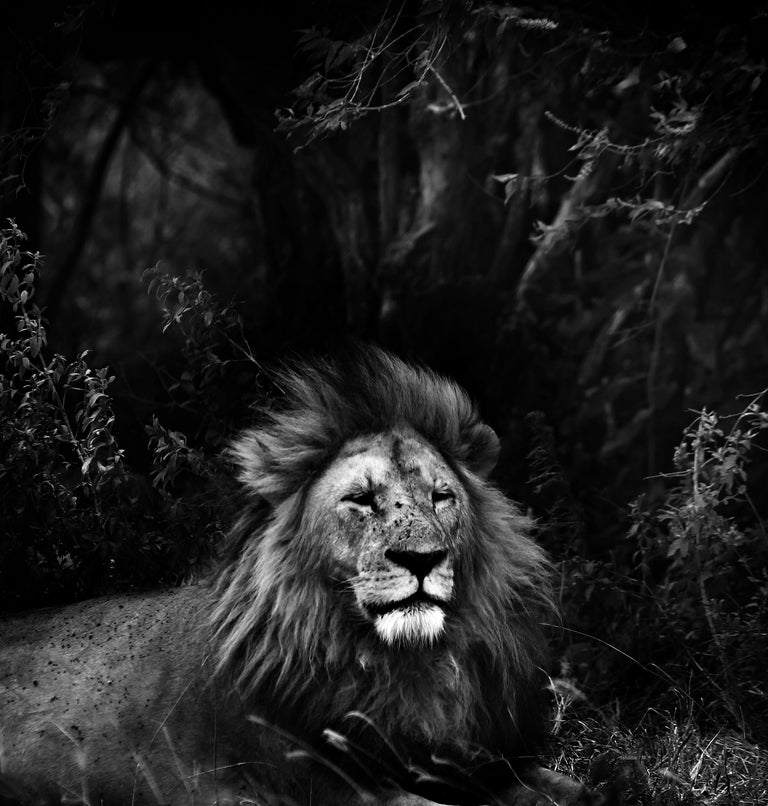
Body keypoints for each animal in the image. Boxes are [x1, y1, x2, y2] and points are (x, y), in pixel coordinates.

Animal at [0, 346, 603, 805]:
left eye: (440, 497)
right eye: (360, 500)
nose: (422, 558)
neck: (408, 668)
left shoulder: (476, 762)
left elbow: (577, 787)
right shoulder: (310, 781)